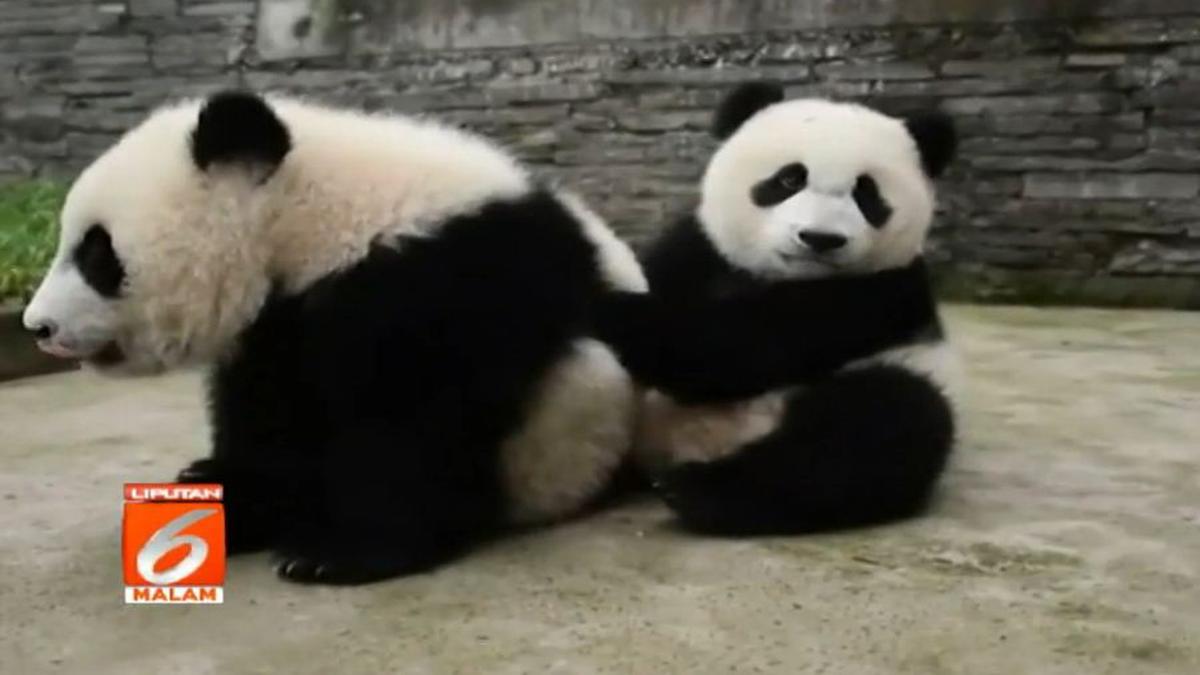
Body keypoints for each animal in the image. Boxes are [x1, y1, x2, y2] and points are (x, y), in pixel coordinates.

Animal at [22, 91, 647, 584]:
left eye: (97, 253)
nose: (38, 327)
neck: (307, 216)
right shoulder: (276, 326)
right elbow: (269, 413)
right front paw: (231, 506)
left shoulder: (443, 281)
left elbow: (409, 420)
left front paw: (336, 553)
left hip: (576, 415)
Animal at [595, 82, 960, 535]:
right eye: (790, 178)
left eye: (866, 193)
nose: (820, 238)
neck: (784, 277)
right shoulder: (699, 250)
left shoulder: (886, 293)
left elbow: (739, 349)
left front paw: (605, 306)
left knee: (873, 428)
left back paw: (698, 491)